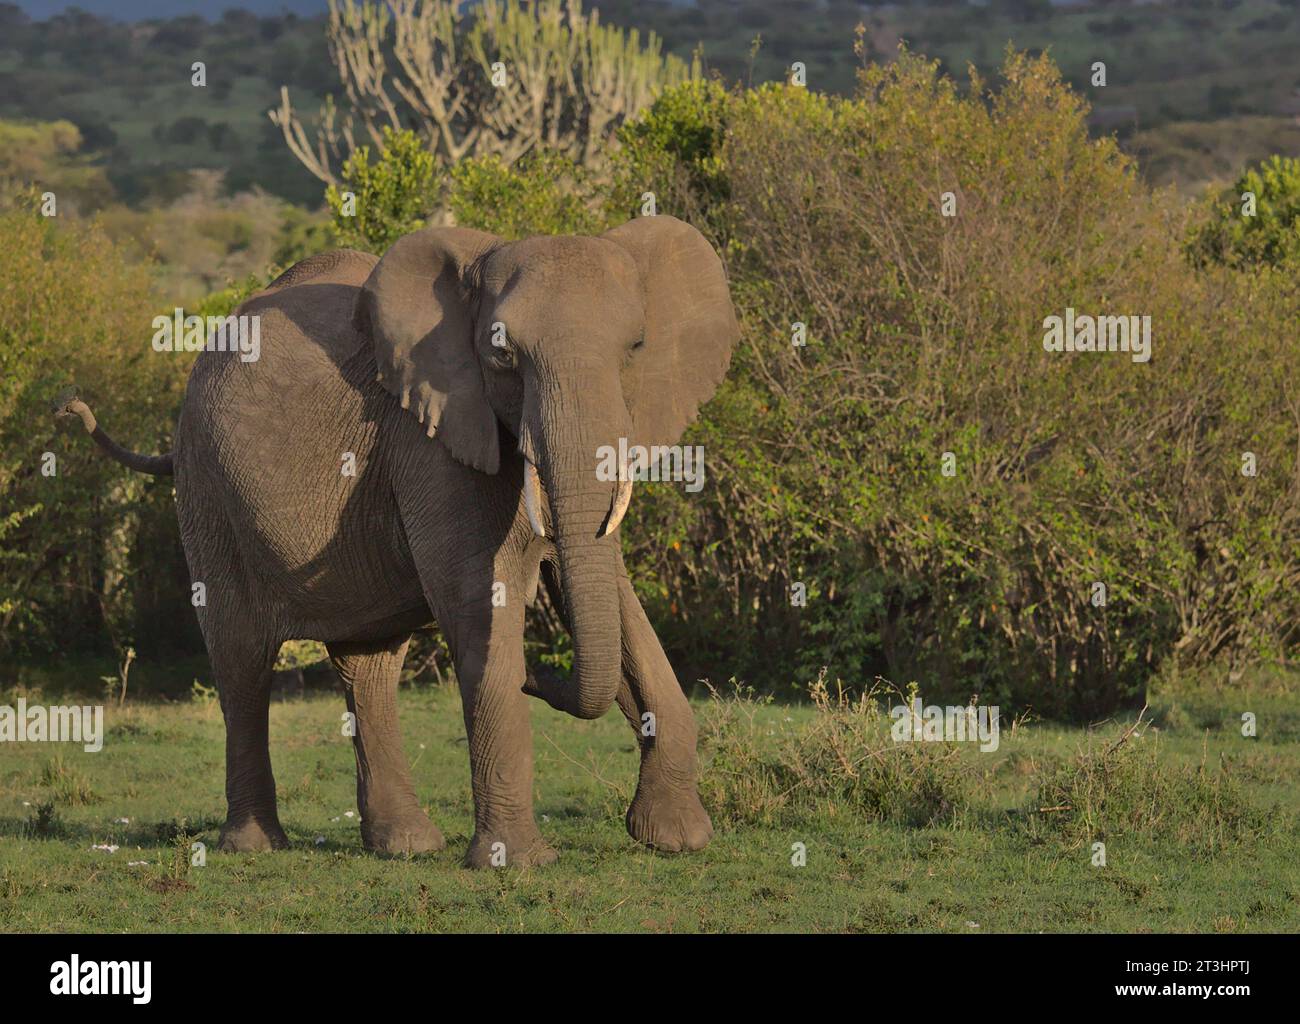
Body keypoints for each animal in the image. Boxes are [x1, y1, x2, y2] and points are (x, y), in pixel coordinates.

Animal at [55, 215, 740, 868]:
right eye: (502, 357)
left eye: (637, 348)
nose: (540, 676)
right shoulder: (430, 438)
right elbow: (477, 600)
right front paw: (516, 863)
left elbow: (612, 597)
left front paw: (677, 839)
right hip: (206, 487)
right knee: (241, 659)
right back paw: (256, 847)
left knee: (369, 663)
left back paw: (406, 846)